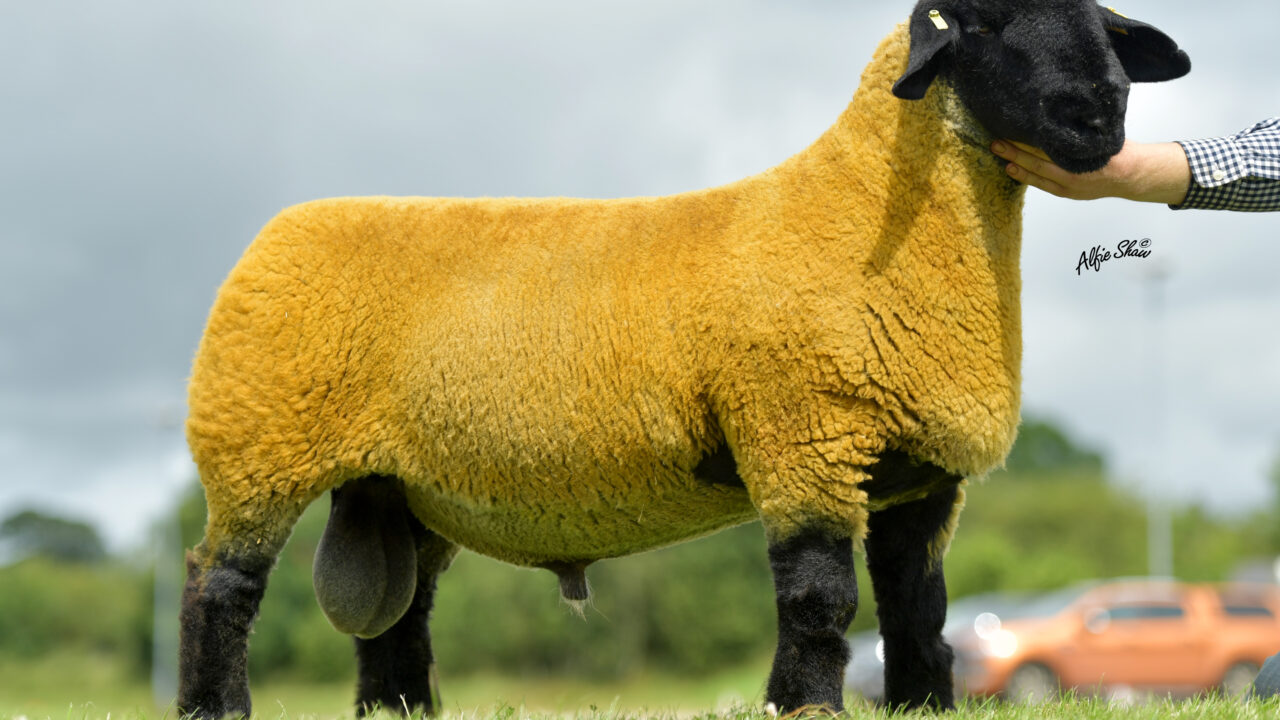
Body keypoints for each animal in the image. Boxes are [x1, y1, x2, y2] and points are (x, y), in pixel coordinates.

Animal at [177, 1, 1190, 716]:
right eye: (979, 22)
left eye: (1101, 24)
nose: (1101, 114)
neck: (864, 213)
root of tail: (276, 234)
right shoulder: (804, 440)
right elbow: (821, 599)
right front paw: (806, 705)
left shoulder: (922, 478)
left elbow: (920, 610)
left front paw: (923, 706)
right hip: (257, 449)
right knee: (218, 589)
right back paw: (215, 708)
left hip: (397, 487)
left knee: (398, 622)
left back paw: (403, 712)